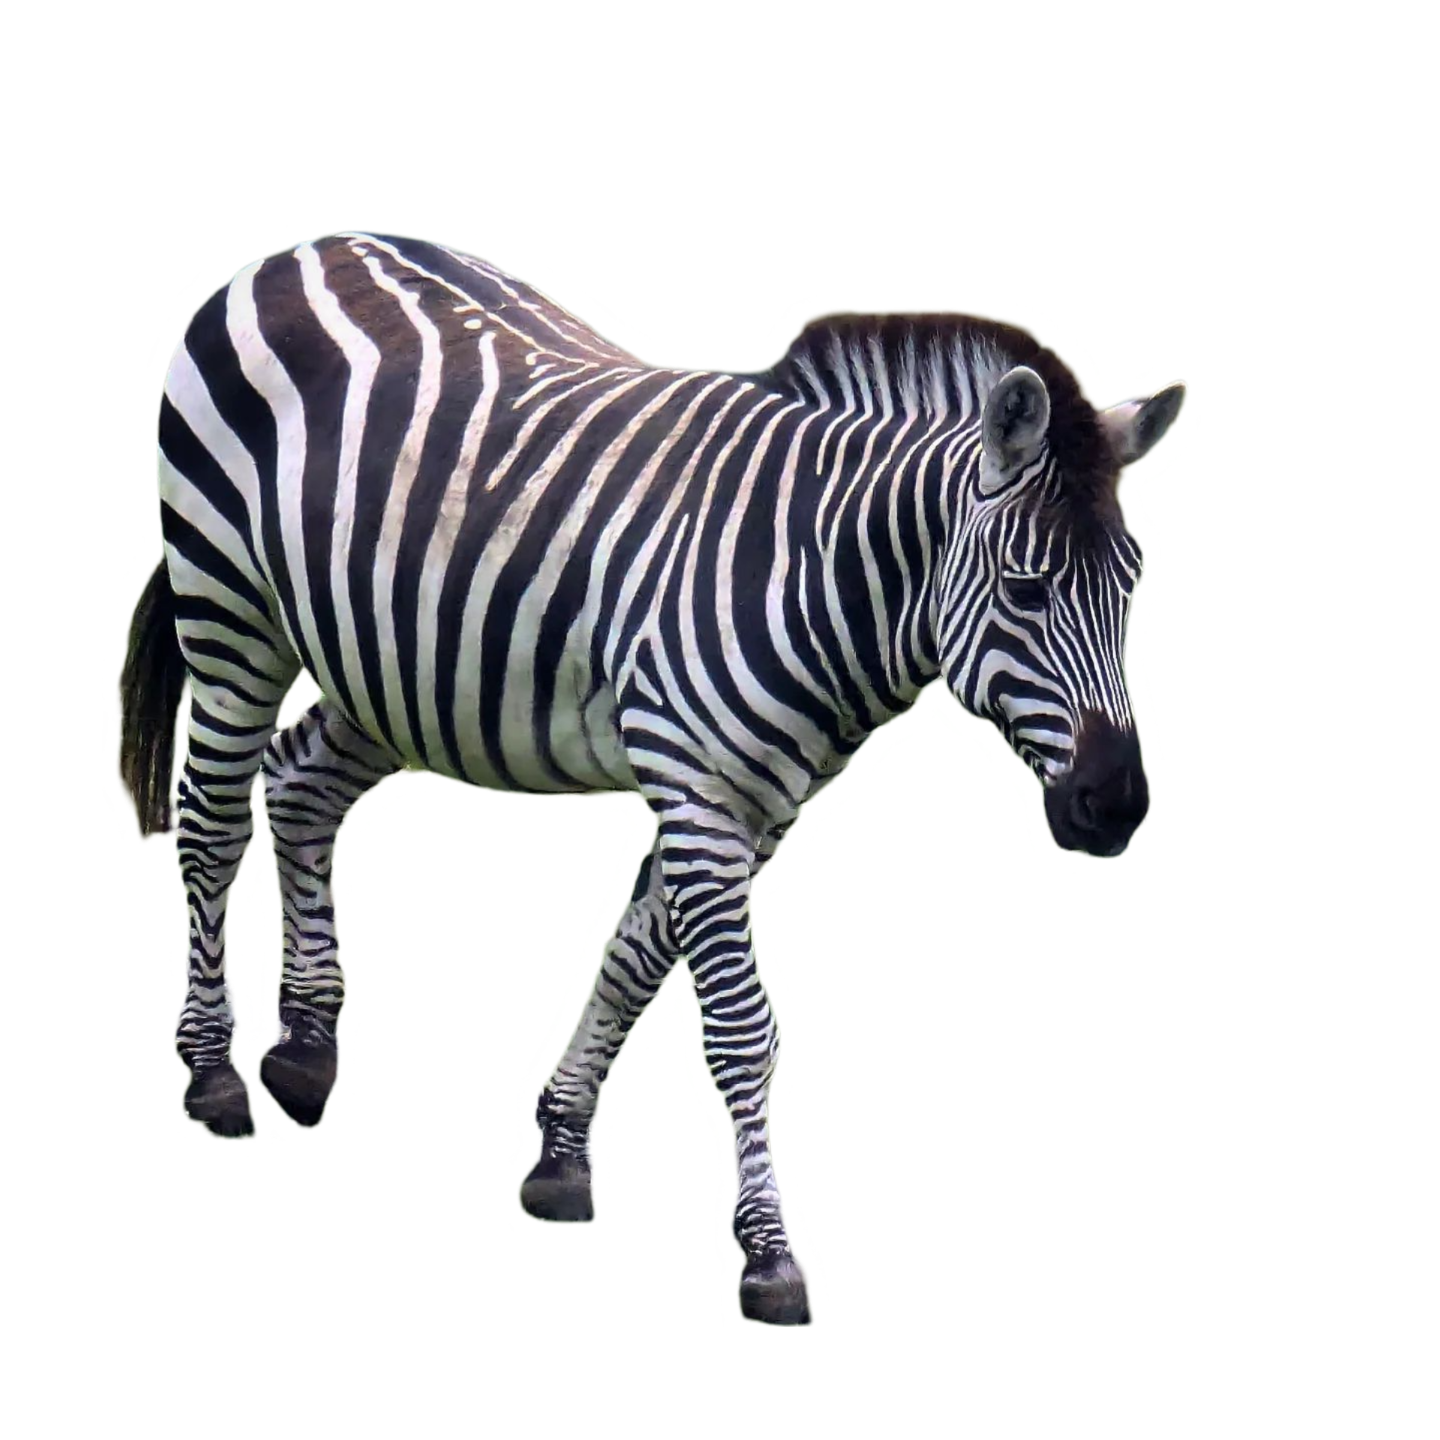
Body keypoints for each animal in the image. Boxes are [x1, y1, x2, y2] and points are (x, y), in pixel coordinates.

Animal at [115, 231, 1186, 1326]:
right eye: (1028, 589)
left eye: (1134, 589)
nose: (1115, 808)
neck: (817, 573)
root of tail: (301, 249)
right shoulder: (702, 787)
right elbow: (743, 1029)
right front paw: (769, 1257)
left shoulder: (758, 806)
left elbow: (633, 962)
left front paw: (560, 1155)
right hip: (230, 606)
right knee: (212, 821)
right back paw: (214, 1073)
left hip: (400, 666)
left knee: (298, 784)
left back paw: (300, 1053)